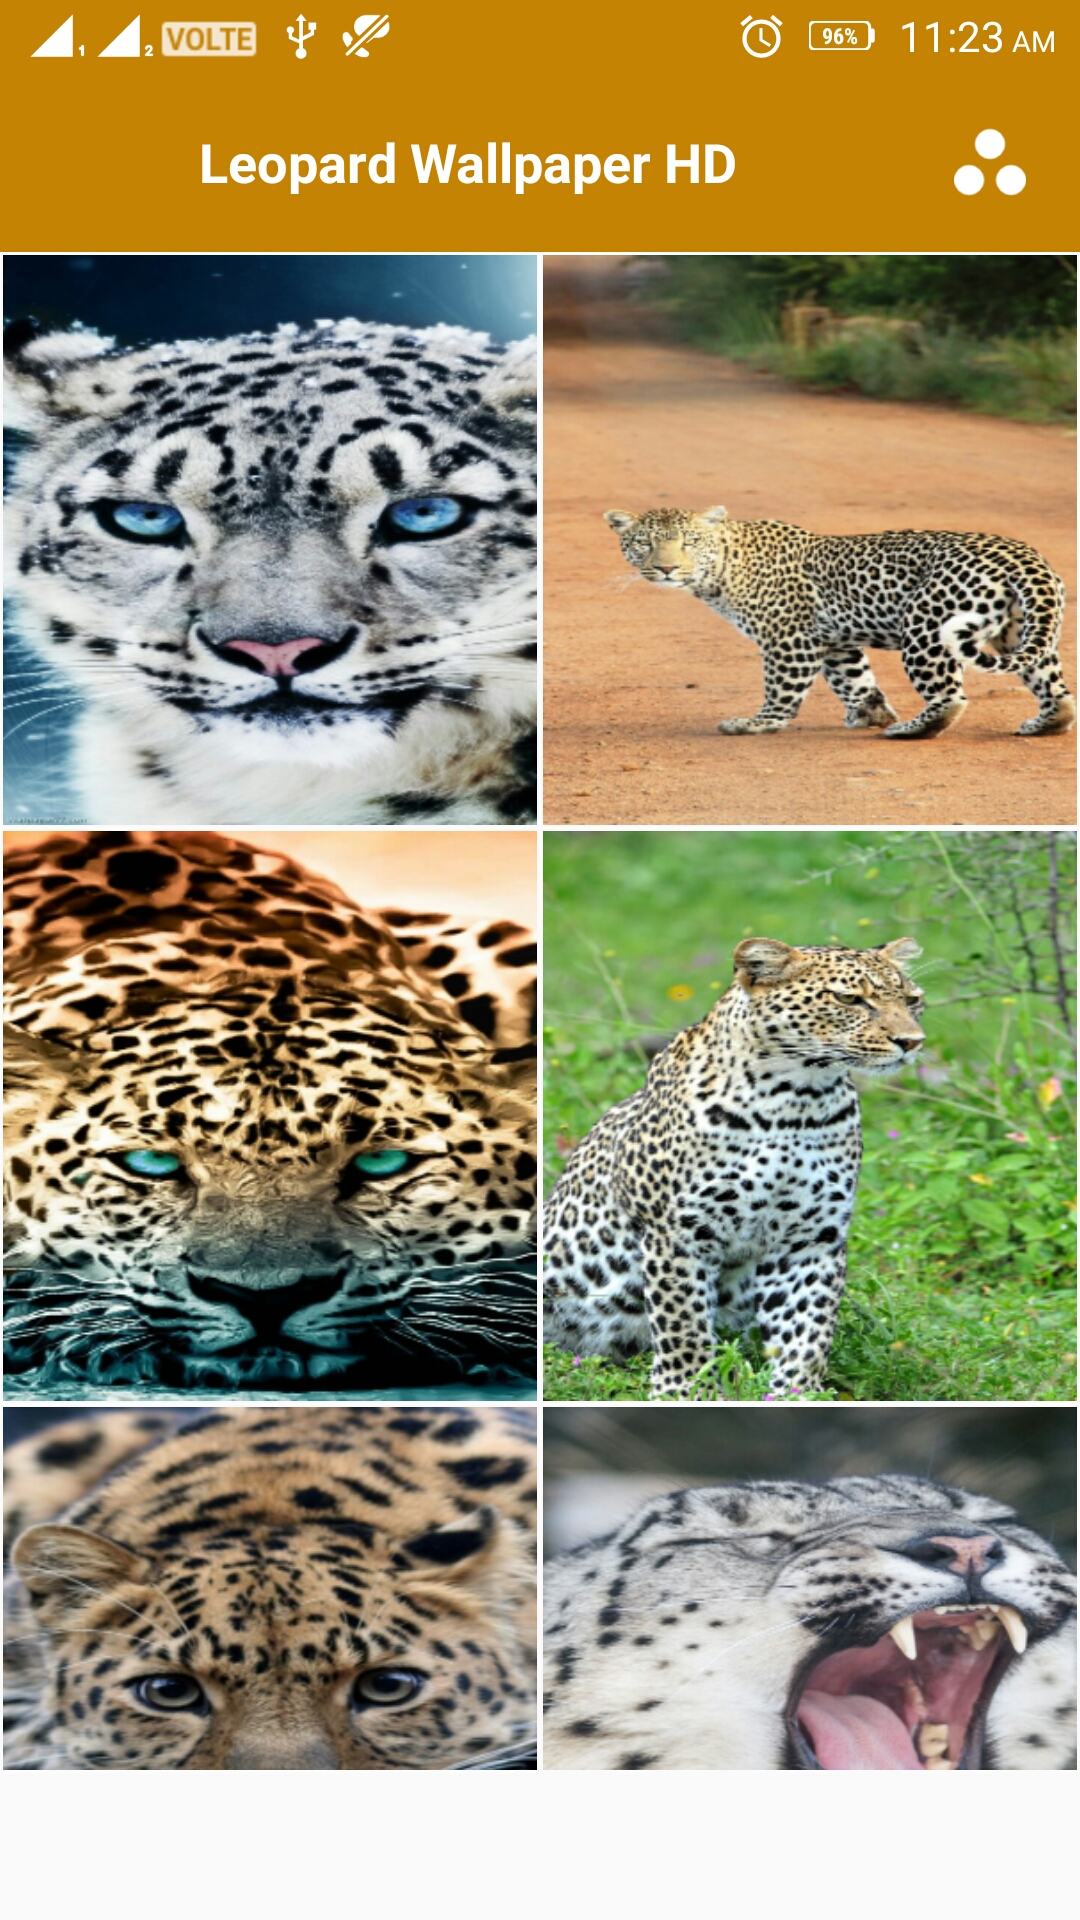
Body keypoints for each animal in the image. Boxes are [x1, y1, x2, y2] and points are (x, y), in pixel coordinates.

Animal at [543, 936, 924, 1399]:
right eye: (849, 999)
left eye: (912, 1001)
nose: (913, 1041)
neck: (794, 1104)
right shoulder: (678, 1233)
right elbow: (682, 1322)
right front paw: (684, 1391)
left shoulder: (811, 1239)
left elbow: (808, 1329)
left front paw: (796, 1393)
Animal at [605, 506, 1074, 739]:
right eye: (643, 543)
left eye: (689, 542)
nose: (666, 568)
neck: (721, 567)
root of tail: (1023, 555)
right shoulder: (833, 641)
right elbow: (855, 679)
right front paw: (870, 714)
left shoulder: (789, 639)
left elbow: (782, 688)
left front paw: (760, 723)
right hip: (1021, 631)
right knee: (1053, 686)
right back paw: (1047, 723)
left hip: (926, 628)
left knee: (949, 697)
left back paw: (910, 729)